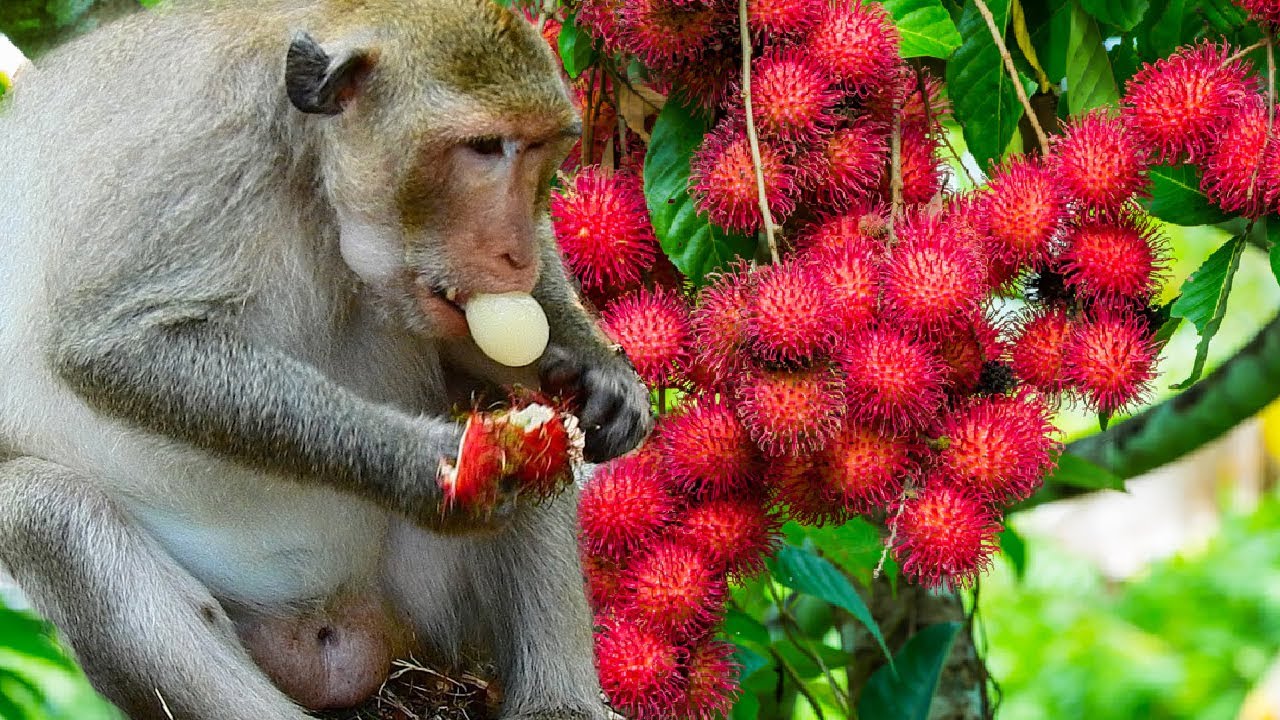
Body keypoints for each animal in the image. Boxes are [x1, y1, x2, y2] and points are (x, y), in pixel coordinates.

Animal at [0, 1, 653, 718]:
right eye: (483, 148)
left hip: (419, 607)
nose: (518, 256)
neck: (310, 170)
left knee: (508, 405)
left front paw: (600, 370)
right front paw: (418, 461)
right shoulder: (203, 150)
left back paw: (557, 703)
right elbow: (114, 347)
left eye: (537, 149)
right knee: (46, 514)